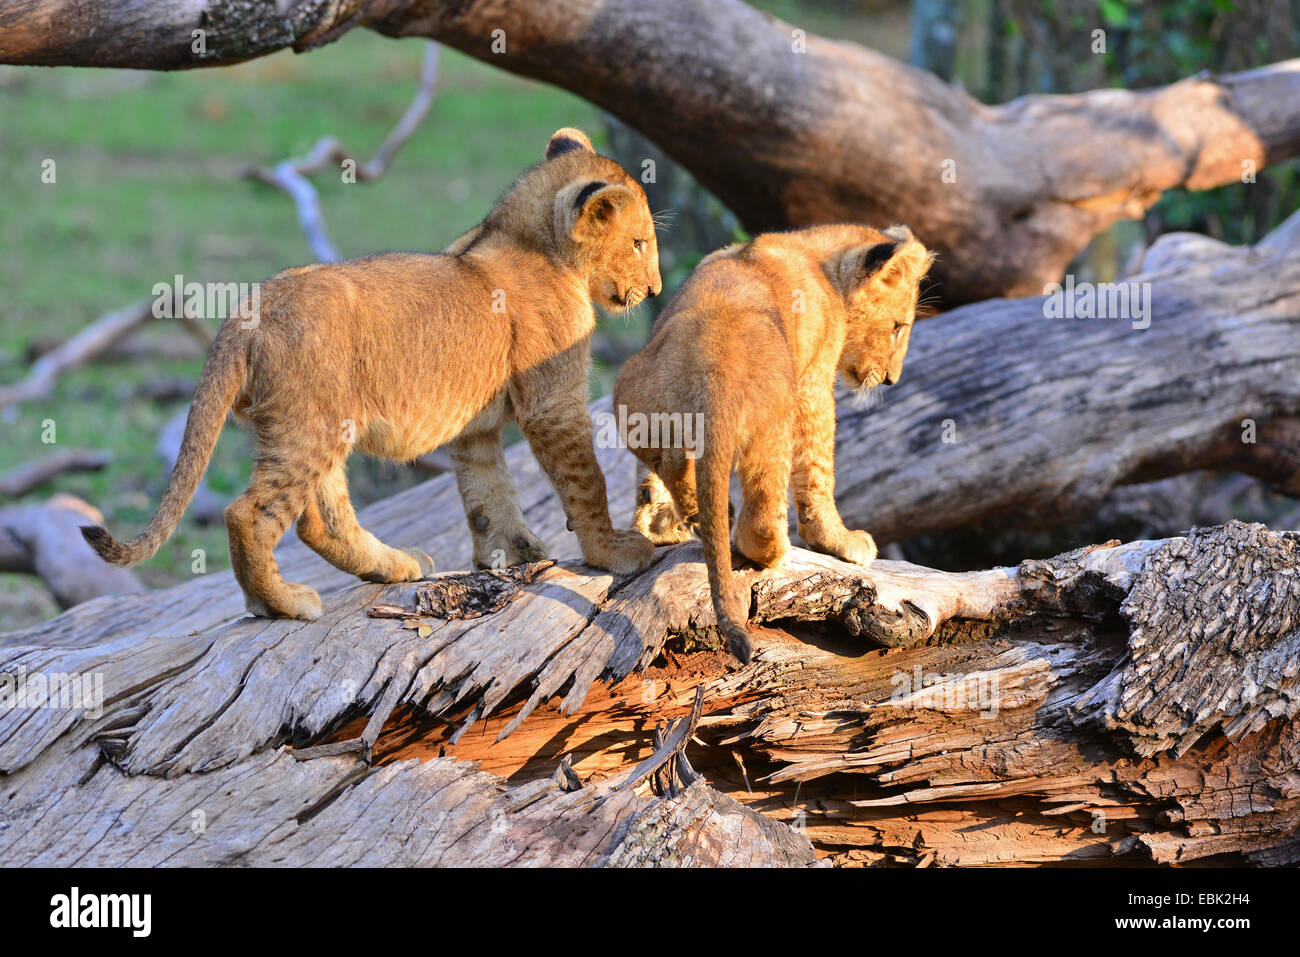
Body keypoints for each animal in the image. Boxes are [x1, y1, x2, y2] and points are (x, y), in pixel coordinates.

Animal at [83, 128, 660, 620]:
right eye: (638, 243)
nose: (655, 289)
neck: (529, 239)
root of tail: (252, 305)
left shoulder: (475, 428)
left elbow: (487, 492)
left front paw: (509, 556)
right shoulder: (552, 404)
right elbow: (584, 480)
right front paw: (610, 550)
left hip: (316, 427)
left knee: (322, 521)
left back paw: (392, 567)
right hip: (309, 425)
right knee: (248, 515)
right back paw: (281, 604)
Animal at [613, 224, 933, 663]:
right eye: (899, 326)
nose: (891, 379)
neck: (820, 258)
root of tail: (715, 366)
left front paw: (662, 522)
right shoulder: (815, 382)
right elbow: (818, 471)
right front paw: (841, 541)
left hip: (628, 390)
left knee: (667, 461)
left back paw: (671, 521)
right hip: (777, 417)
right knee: (761, 516)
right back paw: (770, 548)